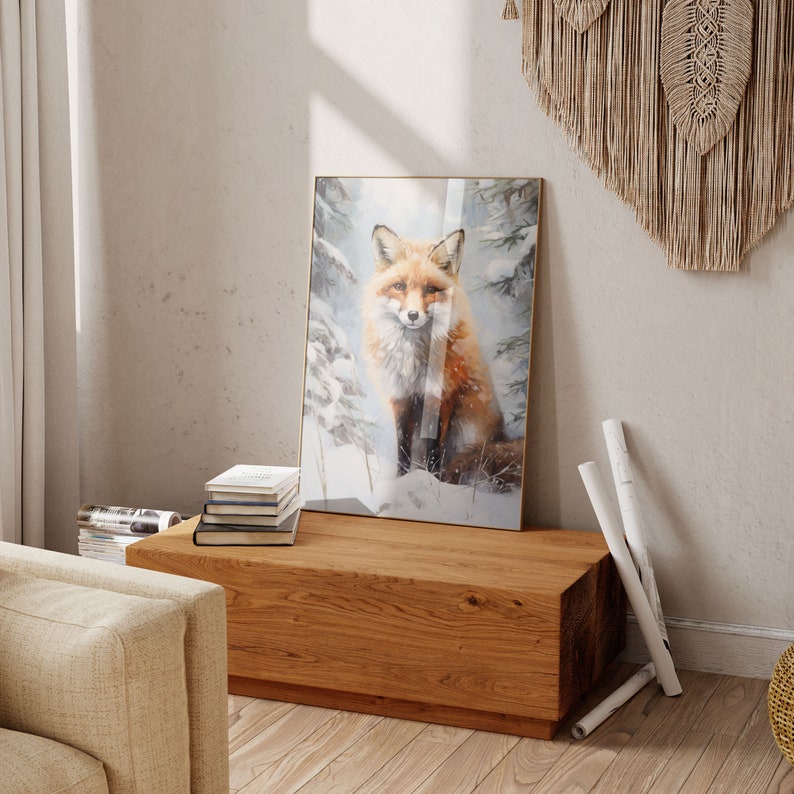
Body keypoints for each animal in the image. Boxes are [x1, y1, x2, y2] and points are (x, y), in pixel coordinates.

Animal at [362, 224, 523, 488]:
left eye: (430, 290)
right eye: (400, 287)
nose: (413, 315)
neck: (414, 359)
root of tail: (502, 435)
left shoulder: (442, 395)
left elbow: (435, 450)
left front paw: (433, 483)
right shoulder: (401, 396)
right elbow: (403, 448)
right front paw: (401, 481)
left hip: (468, 427)